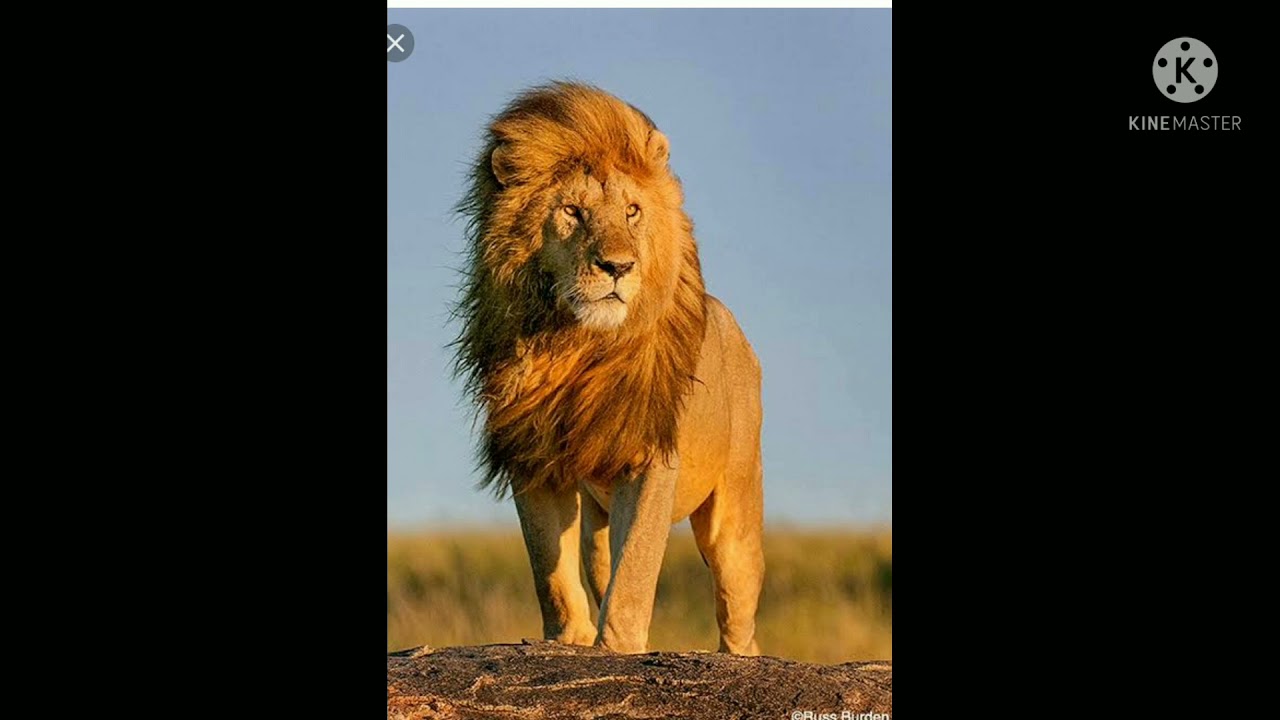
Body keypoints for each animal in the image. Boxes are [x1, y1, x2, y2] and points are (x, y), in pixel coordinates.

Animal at [452, 81, 764, 655]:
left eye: (633, 211)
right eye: (573, 211)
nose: (618, 266)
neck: (575, 343)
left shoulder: (650, 458)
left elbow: (636, 568)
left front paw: (617, 648)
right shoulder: (532, 454)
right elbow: (549, 571)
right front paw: (568, 641)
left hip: (735, 515)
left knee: (738, 611)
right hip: (597, 522)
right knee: (599, 561)